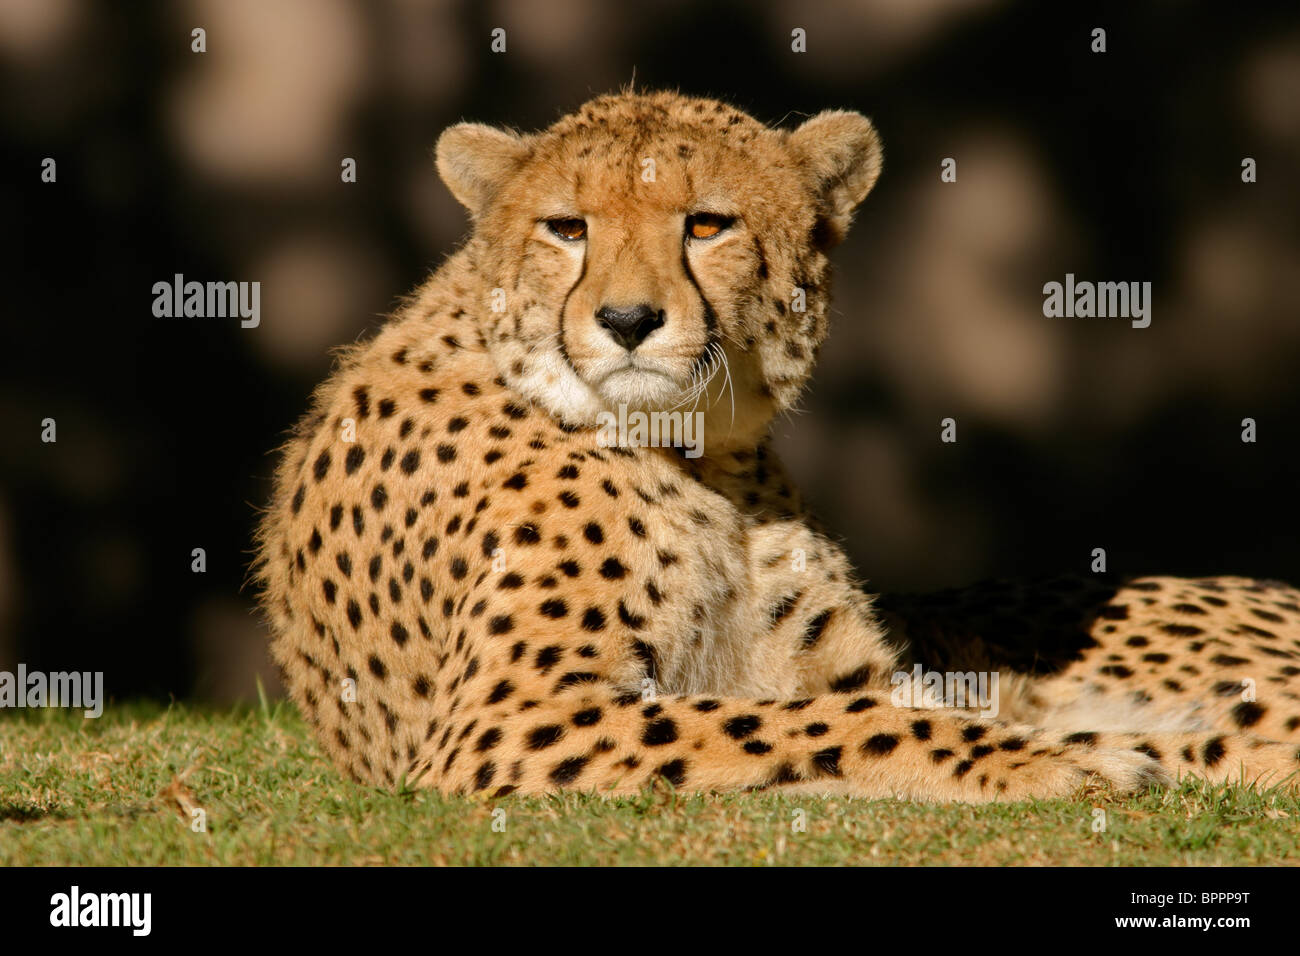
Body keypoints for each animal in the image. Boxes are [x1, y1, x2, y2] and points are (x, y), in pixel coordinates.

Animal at [255, 90, 1300, 802]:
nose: (627, 321)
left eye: (707, 224)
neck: (699, 458)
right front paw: (1070, 760)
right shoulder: (509, 723)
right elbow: (817, 722)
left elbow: (855, 705)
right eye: (566, 228)